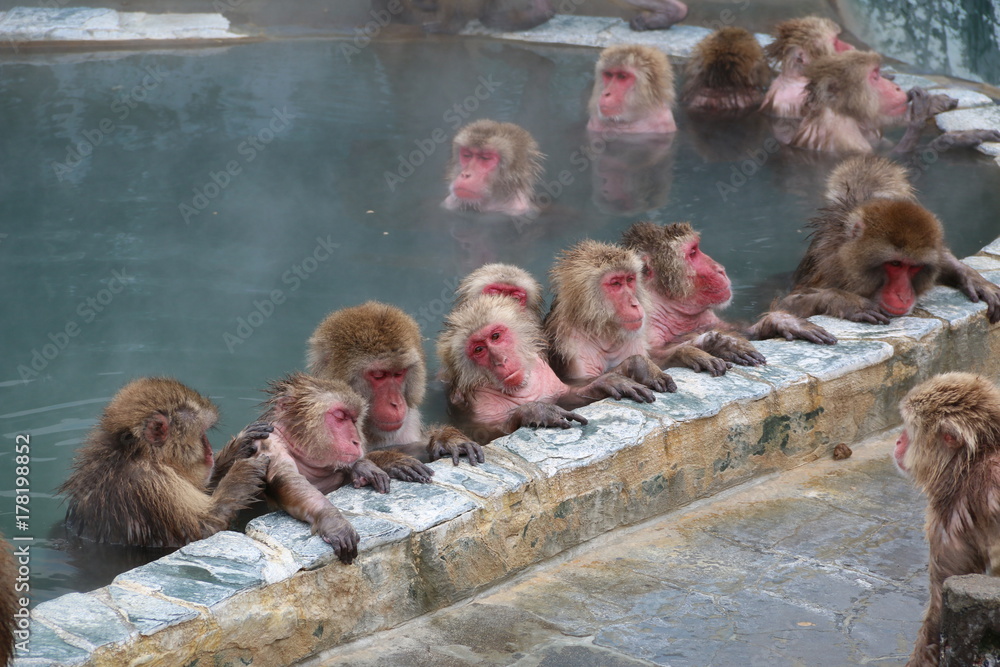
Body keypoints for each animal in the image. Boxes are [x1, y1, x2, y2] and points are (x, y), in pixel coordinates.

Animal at [59, 378, 269, 549]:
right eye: (201, 434)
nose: (209, 453)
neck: (135, 455)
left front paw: (240, 446)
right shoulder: (152, 484)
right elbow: (202, 530)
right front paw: (244, 471)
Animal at [545, 240, 676, 393]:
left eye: (629, 280)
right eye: (616, 283)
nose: (634, 304)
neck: (603, 330)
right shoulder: (574, 347)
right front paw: (639, 366)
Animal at [621, 221, 836, 376]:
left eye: (696, 248)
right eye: (692, 253)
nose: (720, 269)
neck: (671, 308)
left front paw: (782, 321)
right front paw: (716, 344)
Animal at [776, 155, 1000, 324]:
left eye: (914, 267)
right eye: (895, 264)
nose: (903, 296)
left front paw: (972, 277)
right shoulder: (828, 268)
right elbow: (784, 305)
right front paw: (846, 302)